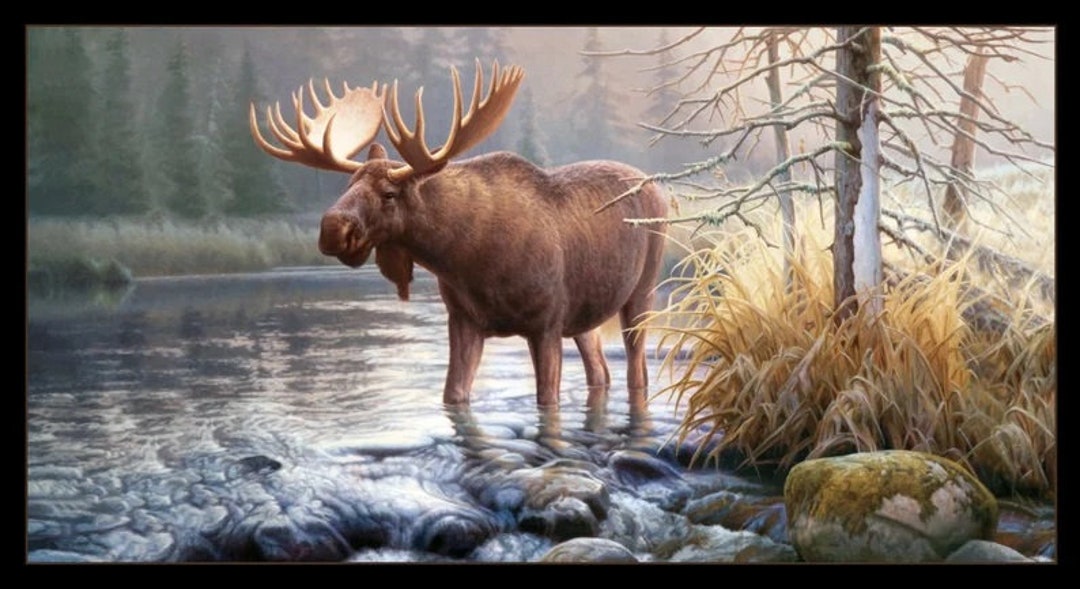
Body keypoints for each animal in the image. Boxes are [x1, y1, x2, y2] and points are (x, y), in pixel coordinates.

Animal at [249, 60, 667, 408]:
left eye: (389, 193)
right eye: (348, 184)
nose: (333, 229)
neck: (465, 257)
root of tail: (662, 190)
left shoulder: (546, 324)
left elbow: (546, 401)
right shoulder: (464, 320)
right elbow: (453, 395)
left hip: (641, 292)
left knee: (637, 370)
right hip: (585, 316)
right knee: (601, 371)